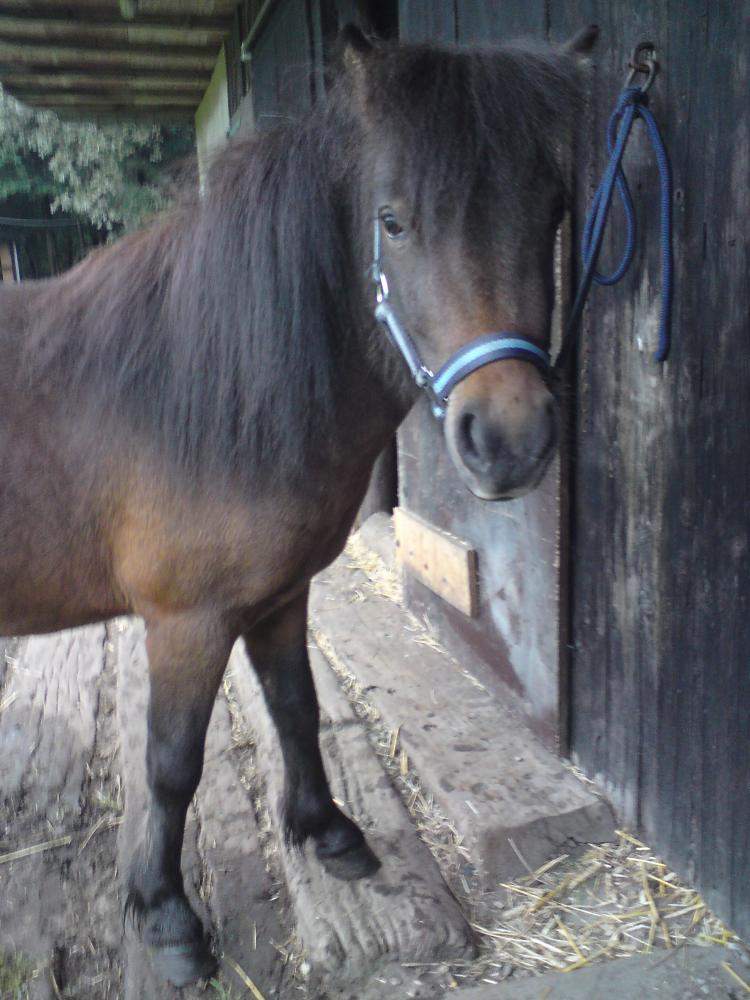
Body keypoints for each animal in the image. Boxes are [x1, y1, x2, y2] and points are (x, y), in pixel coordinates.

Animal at [0, 24, 597, 987]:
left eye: (551, 214)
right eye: (393, 221)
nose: (508, 439)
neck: (206, 390)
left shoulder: (278, 598)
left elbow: (297, 708)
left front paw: (328, 832)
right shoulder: (187, 622)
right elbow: (171, 764)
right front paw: (165, 918)